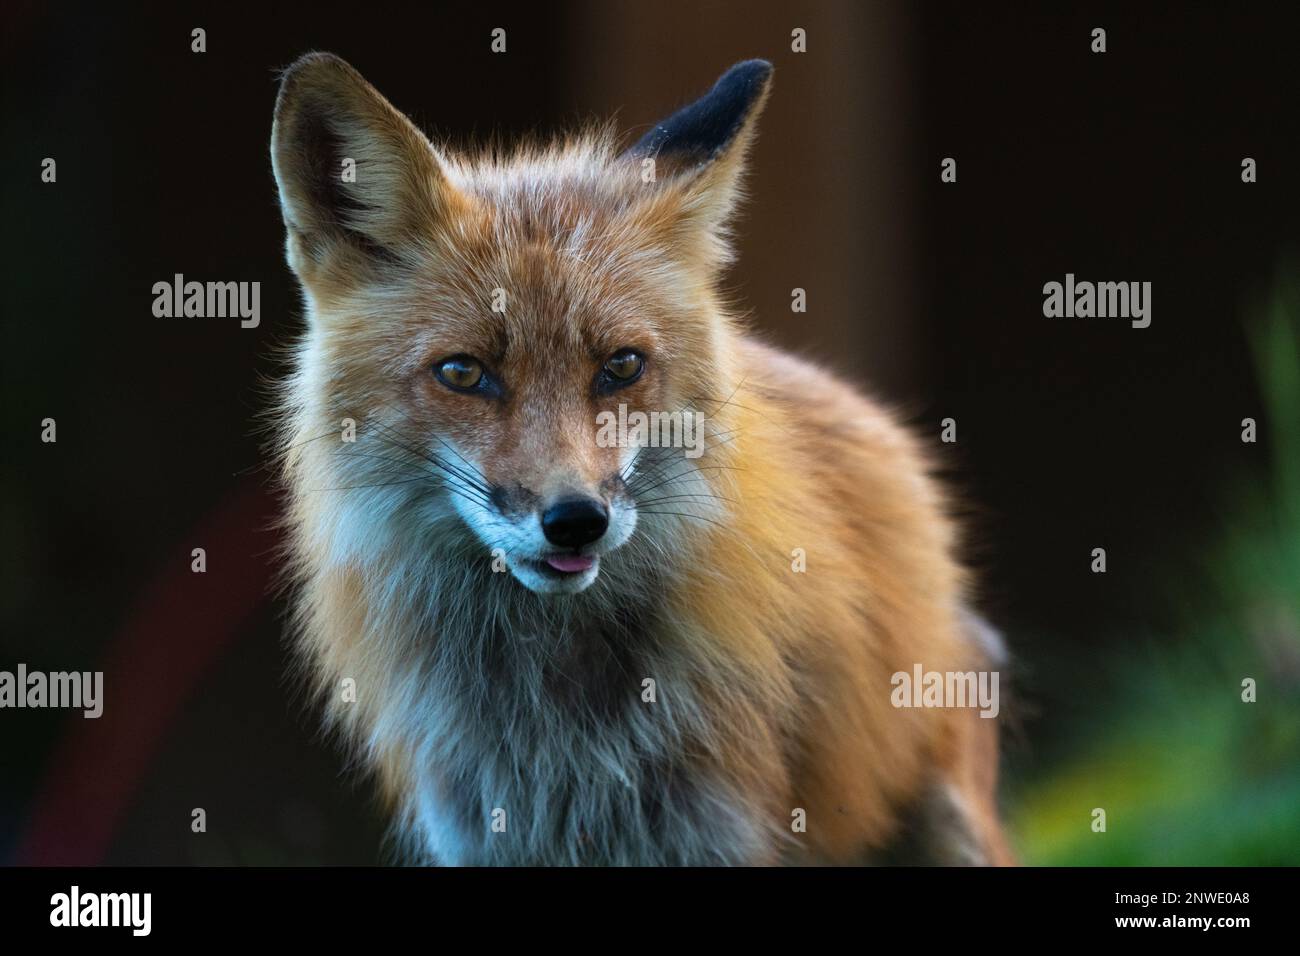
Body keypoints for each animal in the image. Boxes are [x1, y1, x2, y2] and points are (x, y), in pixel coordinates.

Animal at [269, 52, 1013, 866]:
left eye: (621, 366)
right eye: (463, 373)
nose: (575, 521)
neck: (556, 718)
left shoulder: (720, 828)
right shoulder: (482, 831)